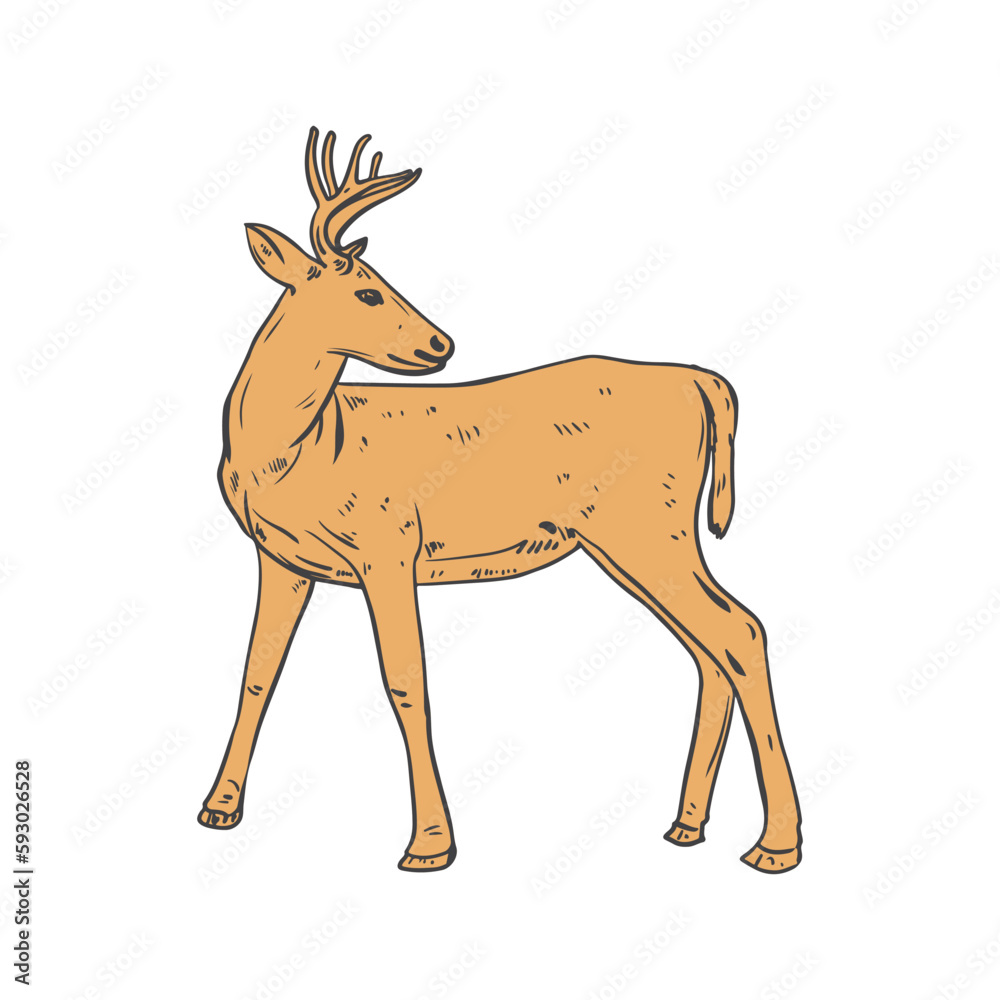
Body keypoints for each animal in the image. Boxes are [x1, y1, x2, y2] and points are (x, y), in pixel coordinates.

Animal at [198, 126, 802, 874]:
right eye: (368, 293)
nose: (440, 343)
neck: (296, 454)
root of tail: (702, 382)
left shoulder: (388, 544)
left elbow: (405, 683)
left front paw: (431, 844)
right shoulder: (281, 559)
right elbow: (258, 674)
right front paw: (218, 808)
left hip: (645, 525)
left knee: (739, 630)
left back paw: (775, 844)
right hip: (641, 538)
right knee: (708, 645)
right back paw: (687, 826)